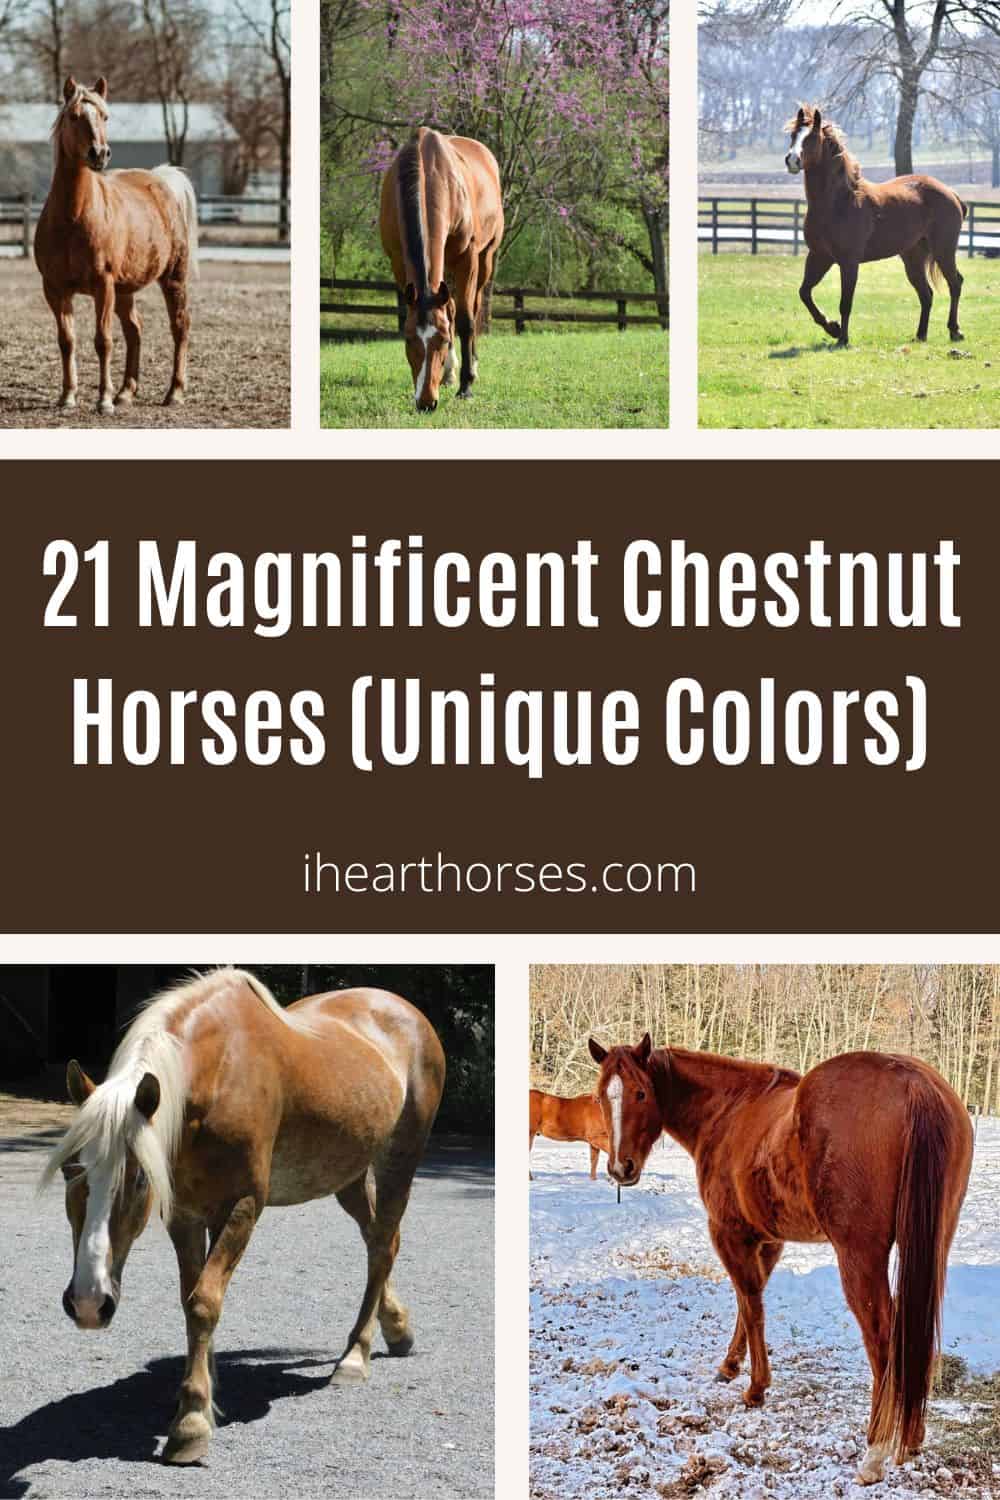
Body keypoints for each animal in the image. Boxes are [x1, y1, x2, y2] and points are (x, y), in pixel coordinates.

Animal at [34, 76, 199, 415]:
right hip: (126, 289)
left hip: (173, 279)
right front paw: (68, 396)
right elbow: (67, 340)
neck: (74, 216)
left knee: (180, 326)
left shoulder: (103, 285)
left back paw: (174, 392)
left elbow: (103, 341)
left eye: (105, 117)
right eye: (74, 117)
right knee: (135, 330)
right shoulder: (55, 289)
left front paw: (103, 400)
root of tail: (161, 182)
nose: (99, 153)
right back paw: (126, 392)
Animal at [40, 968, 445, 1464]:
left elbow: (204, 1301)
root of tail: (405, 1012)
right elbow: (192, 1298)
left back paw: (355, 1356)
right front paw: (203, 1390)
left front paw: (191, 1421)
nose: (88, 1303)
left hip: (398, 1161)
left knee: (383, 1245)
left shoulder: (242, 1206)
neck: (217, 1075)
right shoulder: (186, 1213)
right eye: (69, 1170)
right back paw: (397, 1328)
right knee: (377, 1242)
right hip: (346, 1174)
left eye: (137, 1179)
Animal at [379, 127, 504, 412]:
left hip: (486, 259)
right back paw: (448, 374)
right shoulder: (398, 262)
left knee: (474, 308)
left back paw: (472, 368)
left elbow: (466, 321)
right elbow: (447, 314)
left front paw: (466, 388)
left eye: (445, 340)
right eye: (408, 340)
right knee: (450, 307)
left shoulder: (467, 258)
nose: (427, 402)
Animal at [588, 1034, 973, 1488]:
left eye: (641, 1093)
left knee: (883, 1337)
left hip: (860, 1258)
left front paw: (755, 1388)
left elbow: (751, 1303)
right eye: (600, 1096)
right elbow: (747, 1302)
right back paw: (911, 1439)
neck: (729, 1110)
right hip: (933, 1247)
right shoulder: (768, 1241)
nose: (620, 1168)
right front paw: (730, 1366)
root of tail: (914, 1083)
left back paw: (875, 1451)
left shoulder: (728, 1233)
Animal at [784, 104, 967, 348]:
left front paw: (842, 338)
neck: (837, 202)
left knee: (955, 284)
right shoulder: (819, 256)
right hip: (913, 256)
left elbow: (845, 302)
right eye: (794, 135)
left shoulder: (849, 262)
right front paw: (832, 328)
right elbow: (804, 292)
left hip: (943, 250)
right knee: (926, 294)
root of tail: (952, 194)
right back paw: (920, 335)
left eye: (812, 137)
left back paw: (955, 331)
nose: (792, 160)